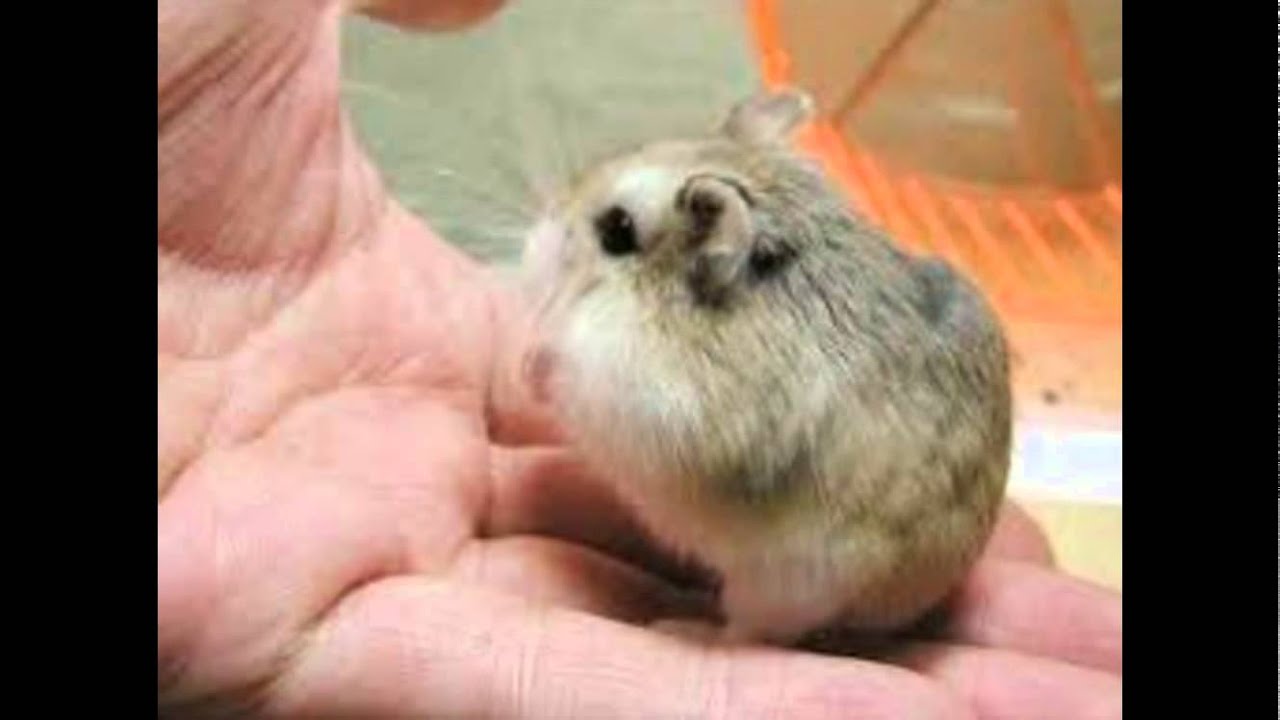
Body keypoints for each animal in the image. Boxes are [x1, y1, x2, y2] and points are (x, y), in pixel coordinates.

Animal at [520, 88, 1012, 645]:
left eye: (618, 230)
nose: (529, 247)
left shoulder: (647, 399)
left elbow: (571, 369)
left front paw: (532, 366)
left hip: (790, 589)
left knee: (751, 633)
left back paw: (684, 625)